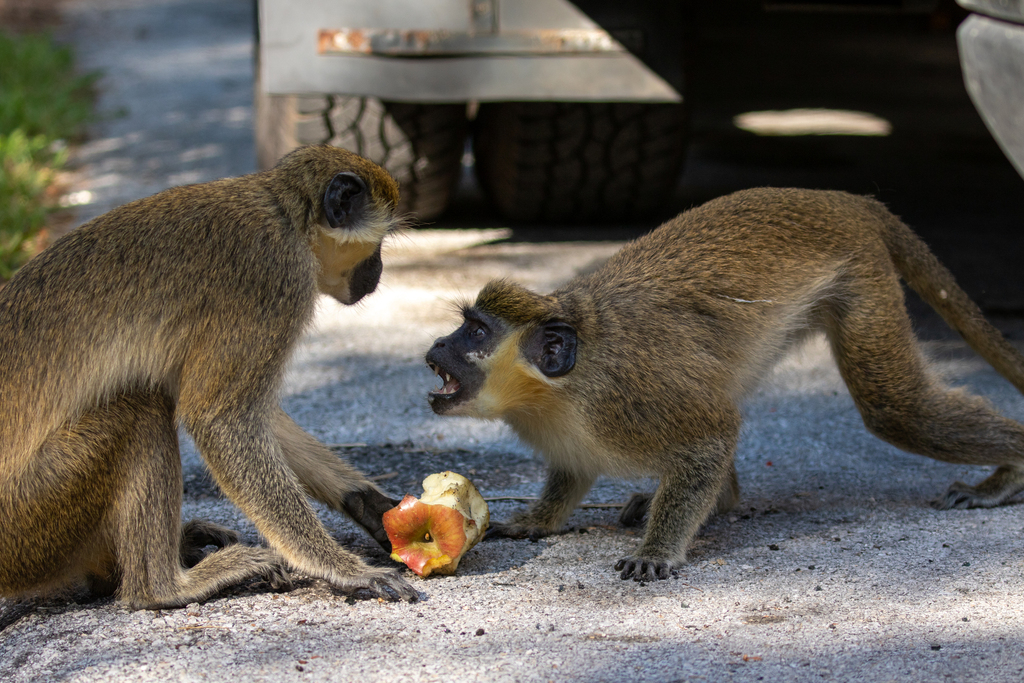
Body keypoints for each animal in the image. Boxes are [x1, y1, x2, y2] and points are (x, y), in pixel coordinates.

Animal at [0, 144, 419, 609]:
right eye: (377, 244)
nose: (377, 272)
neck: (284, 212)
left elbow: (246, 413)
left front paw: (371, 504)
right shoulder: (274, 277)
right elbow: (220, 419)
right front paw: (340, 568)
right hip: (28, 520)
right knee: (141, 410)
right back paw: (163, 587)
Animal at [425, 187, 1024, 582]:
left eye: (475, 332)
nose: (436, 346)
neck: (560, 391)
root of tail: (840, 198)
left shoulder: (626, 396)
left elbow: (710, 433)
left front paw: (659, 550)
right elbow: (576, 469)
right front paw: (539, 520)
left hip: (862, 275)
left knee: (897, 409)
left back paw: (1009, 472)